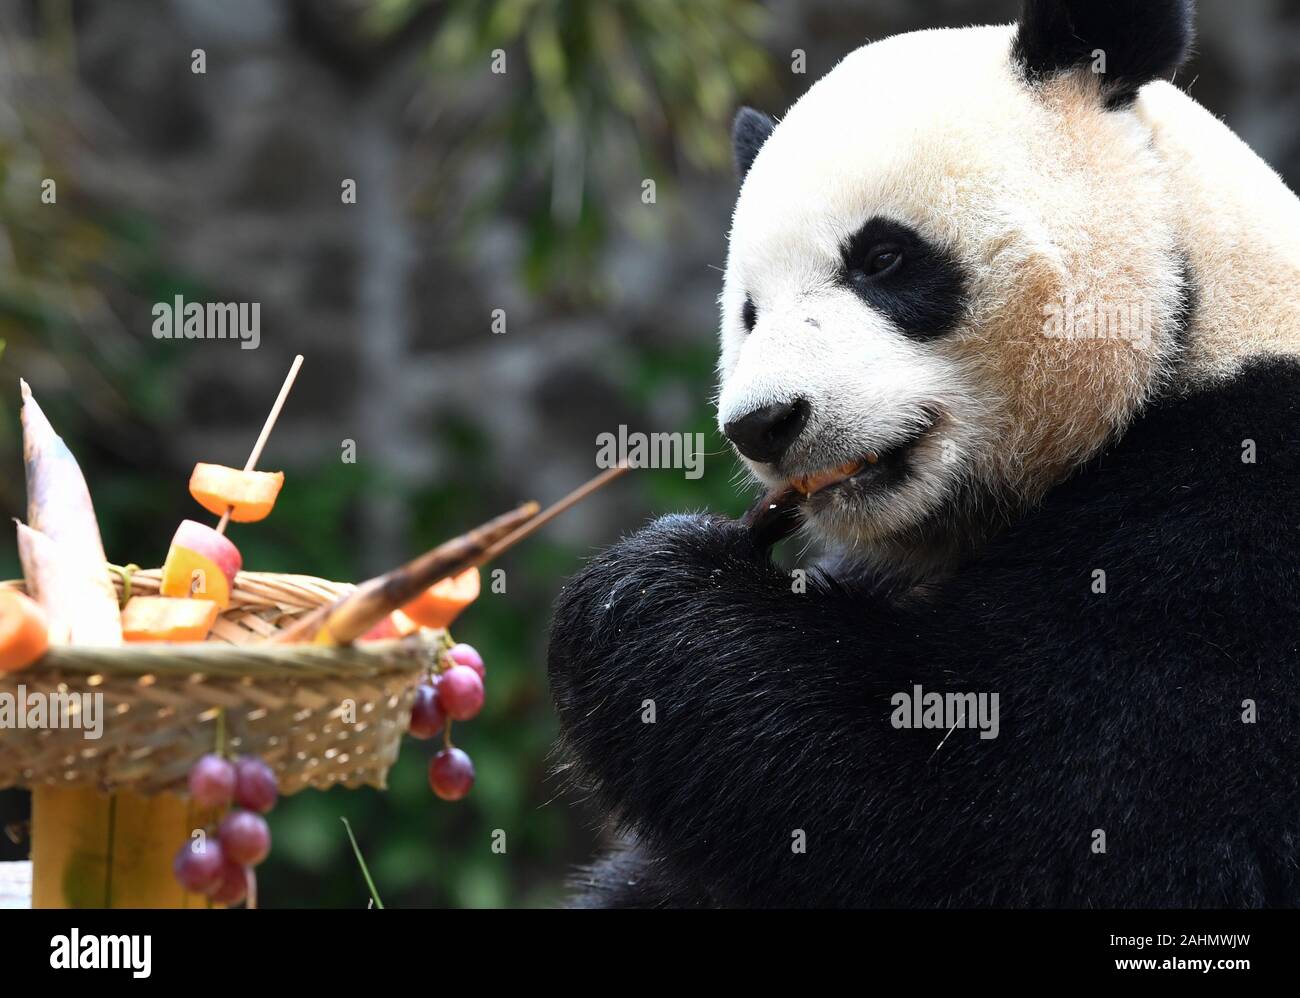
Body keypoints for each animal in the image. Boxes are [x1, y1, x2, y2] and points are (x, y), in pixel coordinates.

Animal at [547, 0, 1300, 907]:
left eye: (882, 258)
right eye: (749, 312)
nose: (766, 423)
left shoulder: (1243, 532)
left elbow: (1016, 811)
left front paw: (643, 595)